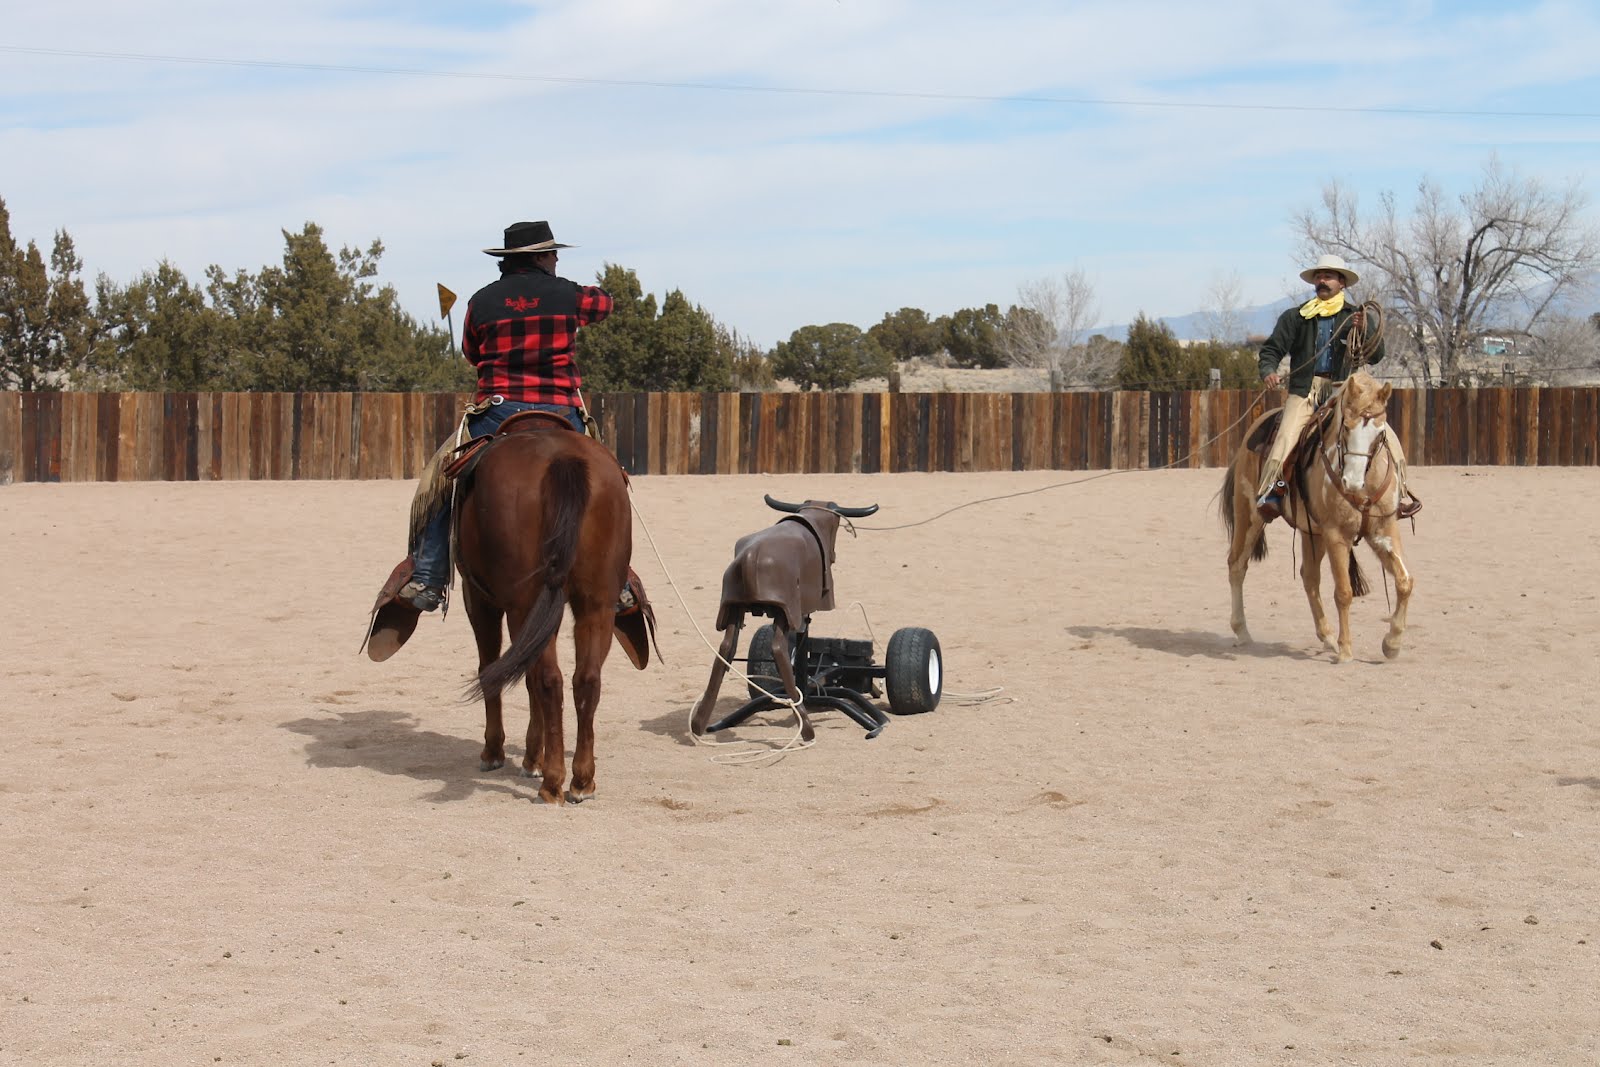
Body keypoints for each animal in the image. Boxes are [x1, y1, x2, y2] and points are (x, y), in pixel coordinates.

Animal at [456, 418, 642, 804]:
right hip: (596, 604)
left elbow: (492, 670)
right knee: (586, 678)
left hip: (523, 604)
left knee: (547, 679)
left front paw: (500, 753)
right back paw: (582, 781)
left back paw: (553, 782)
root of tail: (562, 460)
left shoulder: (479, 599)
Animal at [1218, 369, 1415, 663]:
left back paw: (1328, 637)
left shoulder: (1384, 530)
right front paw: (1346, 651)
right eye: (1346, 427)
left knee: (1309, 576)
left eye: (1380, 434)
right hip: (1249, 514)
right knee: (1237, 565)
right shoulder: (1336, 534)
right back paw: (1242, 632)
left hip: (1311, 532)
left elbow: (1404, 582)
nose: (1351, 483)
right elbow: (1344, 592)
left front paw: (1392, 643)